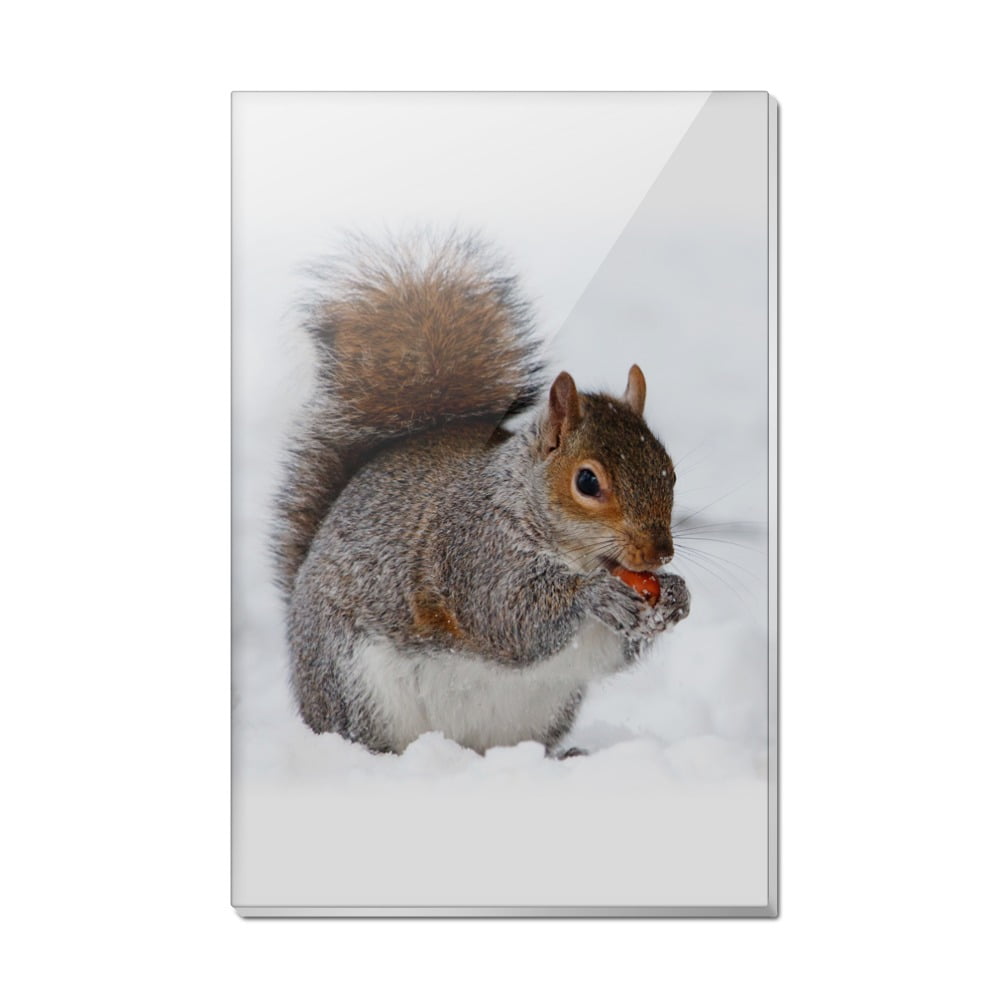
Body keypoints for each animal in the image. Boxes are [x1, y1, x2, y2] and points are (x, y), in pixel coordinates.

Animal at [273, 232, 690, 756]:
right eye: (587, 482)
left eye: (670, 473)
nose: (660, 553)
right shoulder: (473, 551)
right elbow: (509, 615)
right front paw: (597, 595)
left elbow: (612, 651)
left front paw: (676, 595)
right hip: (354, 685)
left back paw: (561, 757)